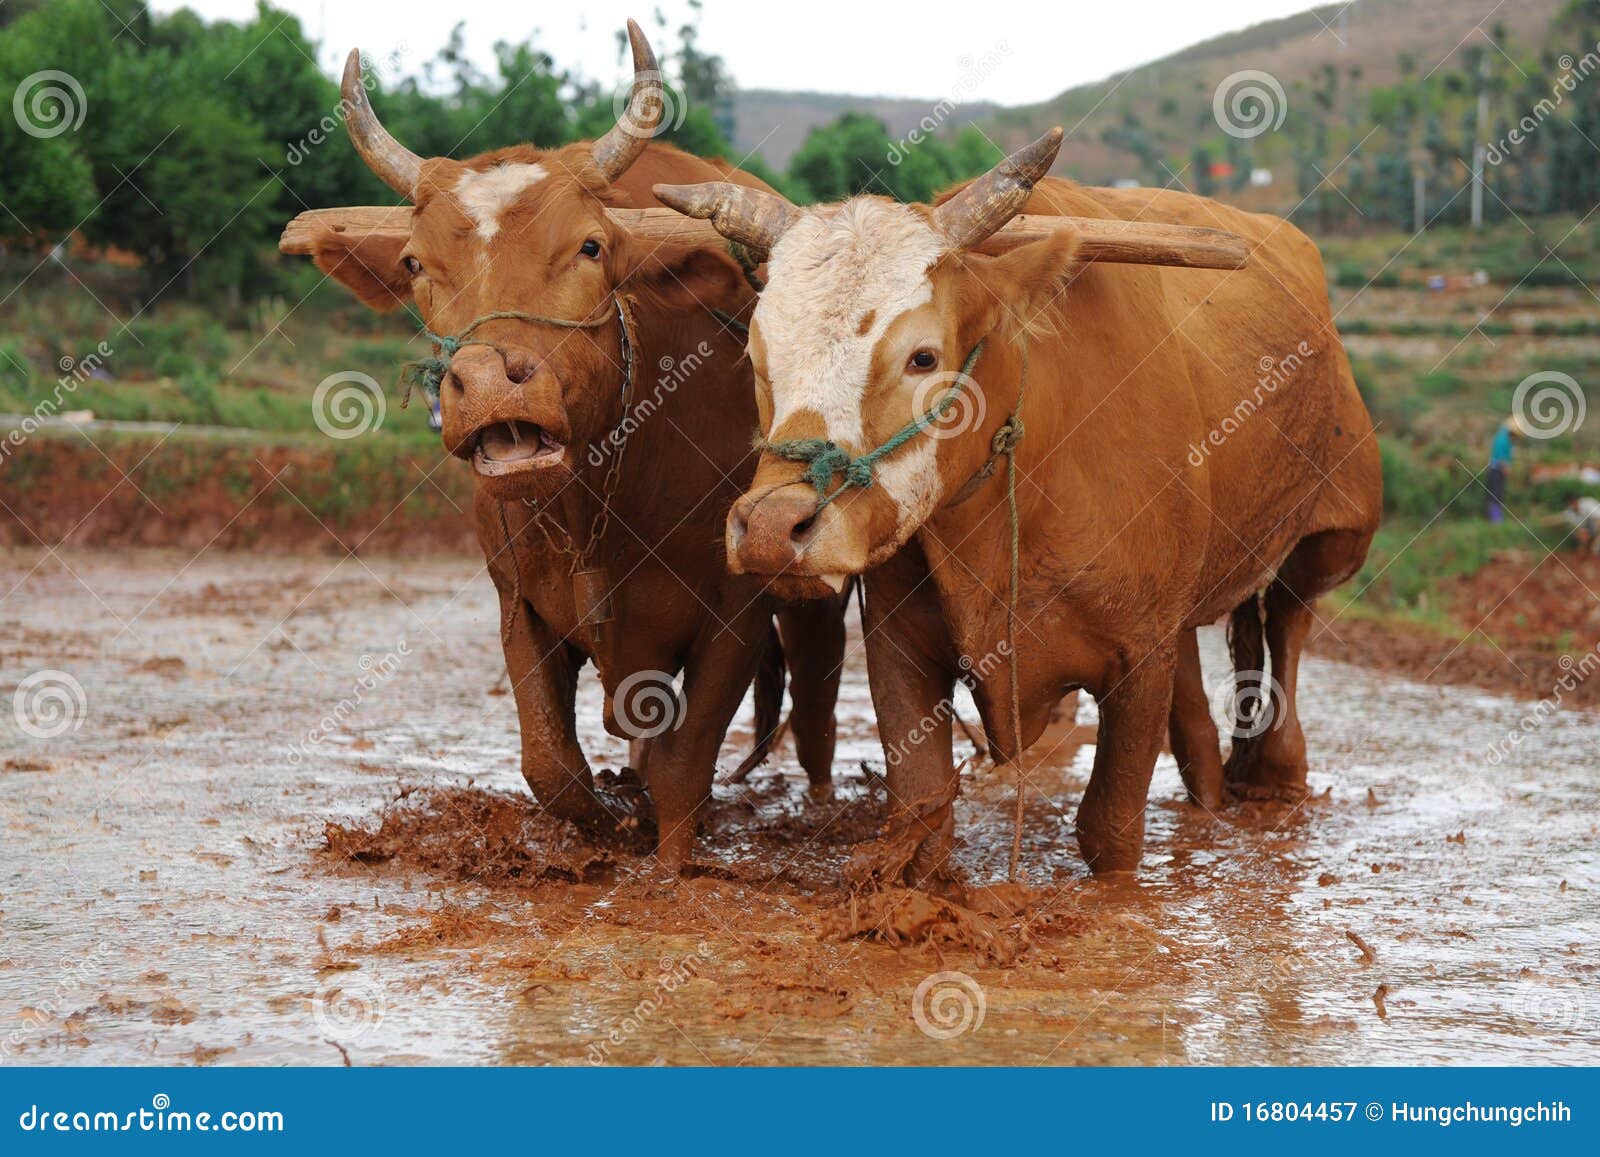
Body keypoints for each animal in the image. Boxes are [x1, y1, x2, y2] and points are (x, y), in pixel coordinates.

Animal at [306, 22, 846, 873]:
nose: (487, 380)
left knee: (818, 702)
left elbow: (685, 767)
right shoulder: (517, 600)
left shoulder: (737, 610)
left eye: (591, 247)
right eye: (415, 263)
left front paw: (669, 859)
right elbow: (549, 761)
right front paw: (603, 815)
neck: (602, 497)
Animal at [655, 128, 1382, 882]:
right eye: (757, 357)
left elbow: (1109, 829)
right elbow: (921, 812)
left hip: (1335, 533)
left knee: (1288, 620)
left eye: (922, 356)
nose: (772, 526)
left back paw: (1277, 774)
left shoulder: (1139, 660)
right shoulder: (900, 650)